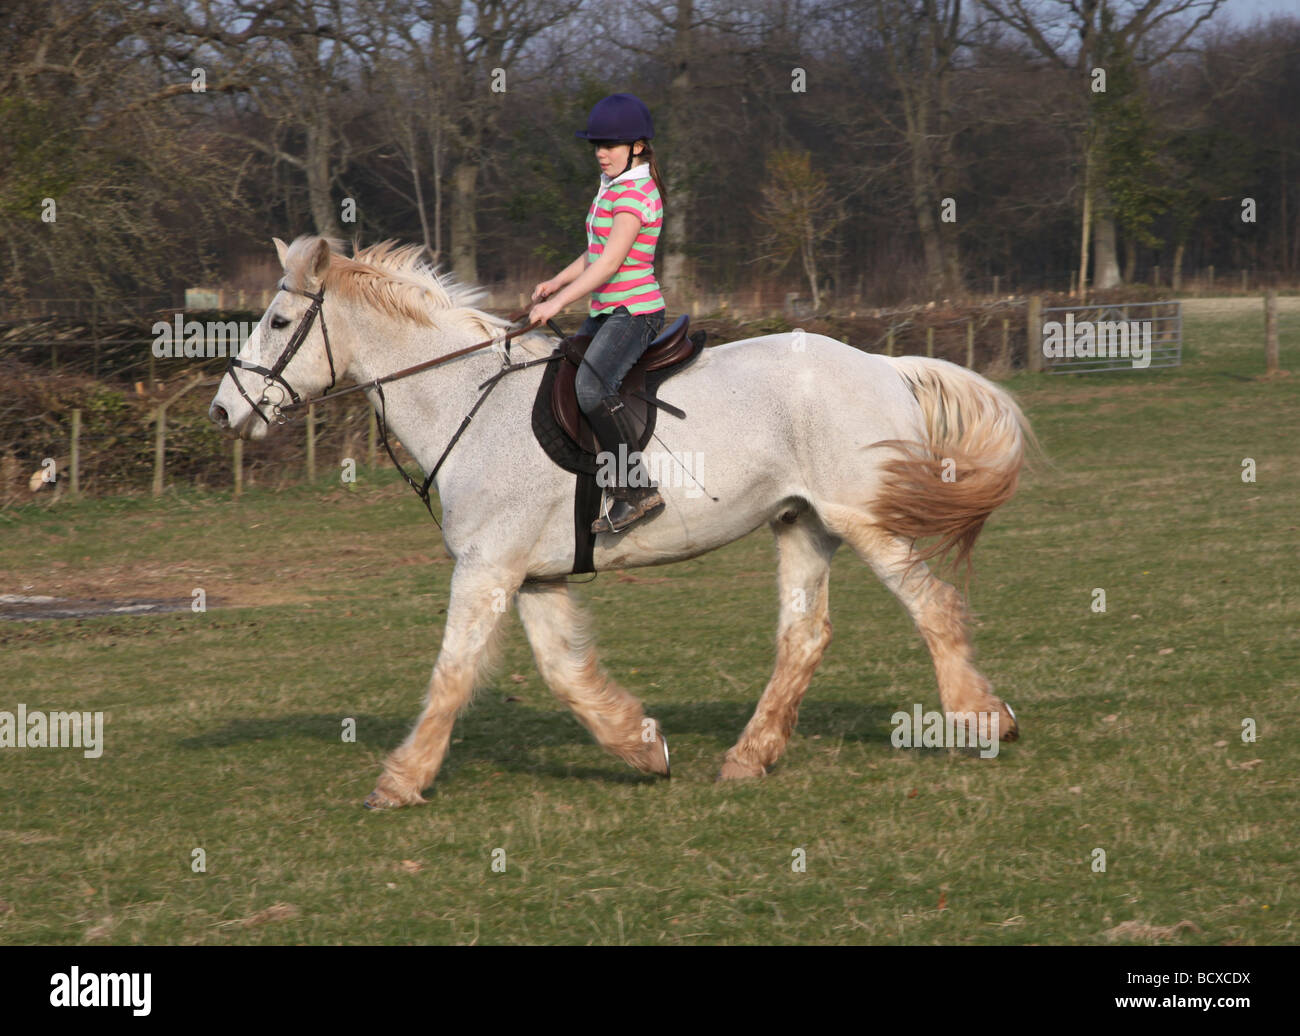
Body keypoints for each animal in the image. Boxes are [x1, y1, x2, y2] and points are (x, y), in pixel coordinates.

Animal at [208, 236, 1034, 808]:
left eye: (279, 319)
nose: (222, 412)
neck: (466, 400)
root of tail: (885, 364)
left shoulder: (485, 567)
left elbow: (452, 671)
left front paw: (401, 781)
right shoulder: (529, 575)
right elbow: (564, 673)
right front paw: (641, 746)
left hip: (862, 519)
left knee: (931, 605)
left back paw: (983, 721)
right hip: (801, 523)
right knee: (804, 637)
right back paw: (749, 757)